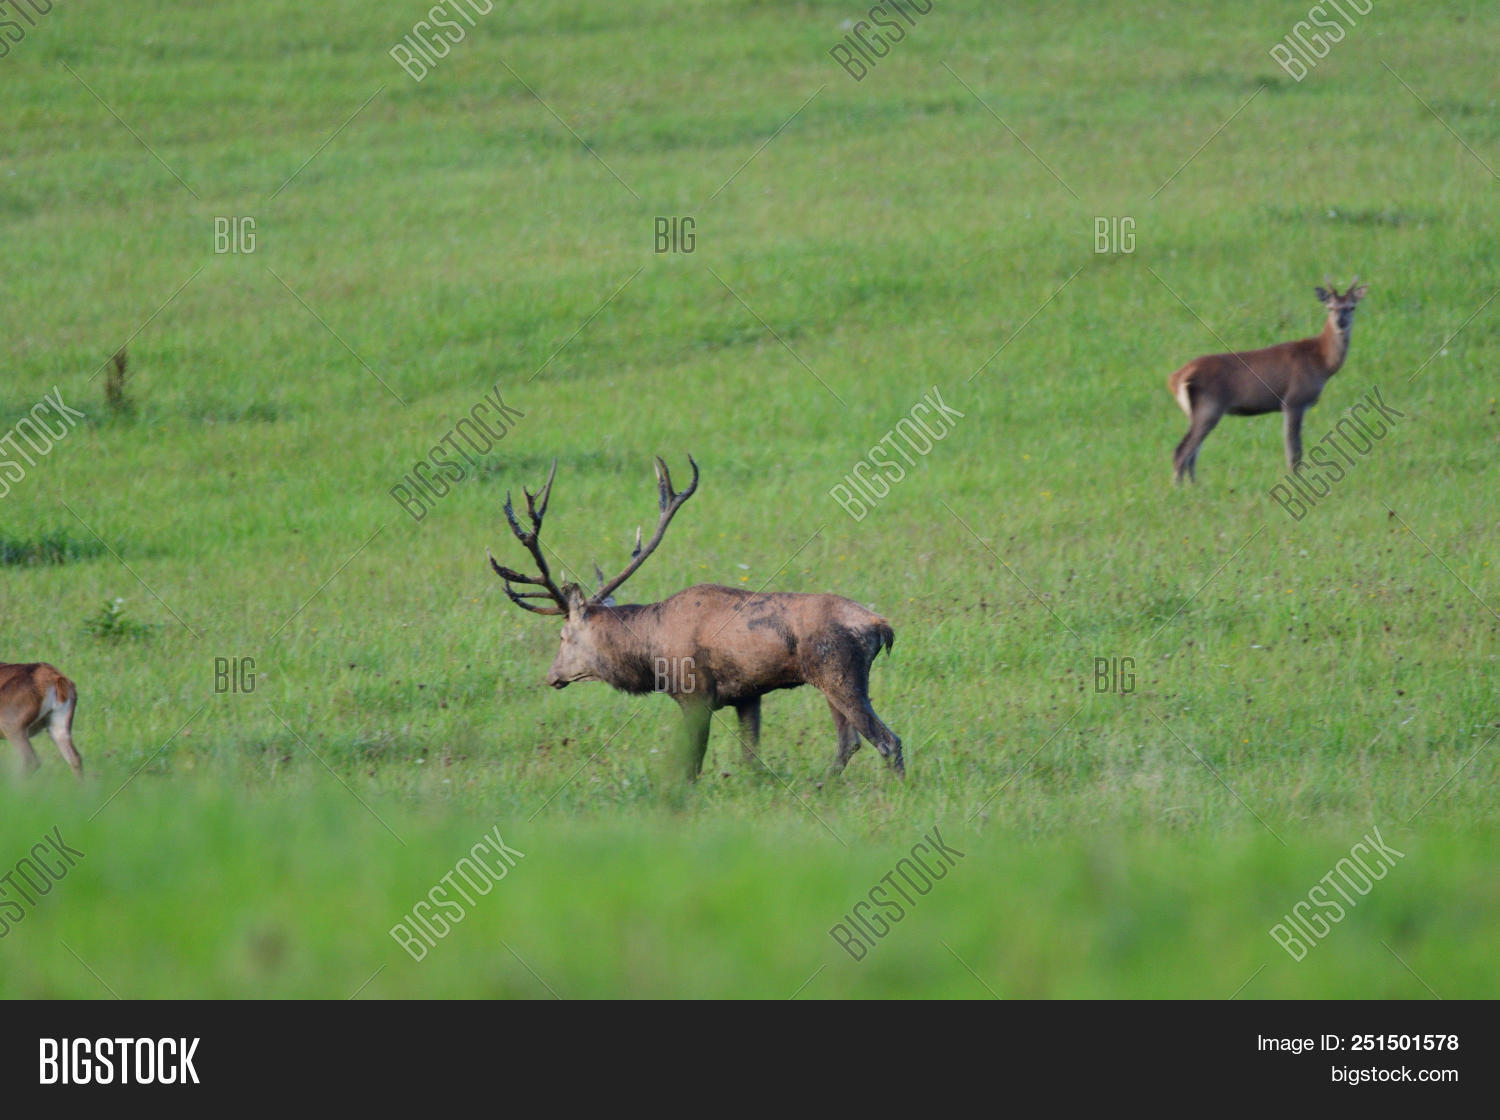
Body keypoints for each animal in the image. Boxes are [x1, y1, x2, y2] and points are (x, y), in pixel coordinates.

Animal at [487, 456, 904, 779]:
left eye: (563, 636)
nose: (551, 675)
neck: (651, 654)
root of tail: (882, 627)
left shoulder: (696, 695)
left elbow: (692, 763)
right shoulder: (748, 696)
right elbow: (750, 758)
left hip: (839, 674)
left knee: (888, 741)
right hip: (830, 683)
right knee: (849, 743)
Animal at [1169, 278, 1369, 483]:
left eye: (1352, 307)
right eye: (1330, 307)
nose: (1341, 323)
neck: (1322, 363)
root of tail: (1176, 377)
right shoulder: (1294, 400)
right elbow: (1294, 452)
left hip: (1196, 411)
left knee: (1192, 455)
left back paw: (1195, 487)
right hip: (1209, 406)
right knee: (1181, 452)